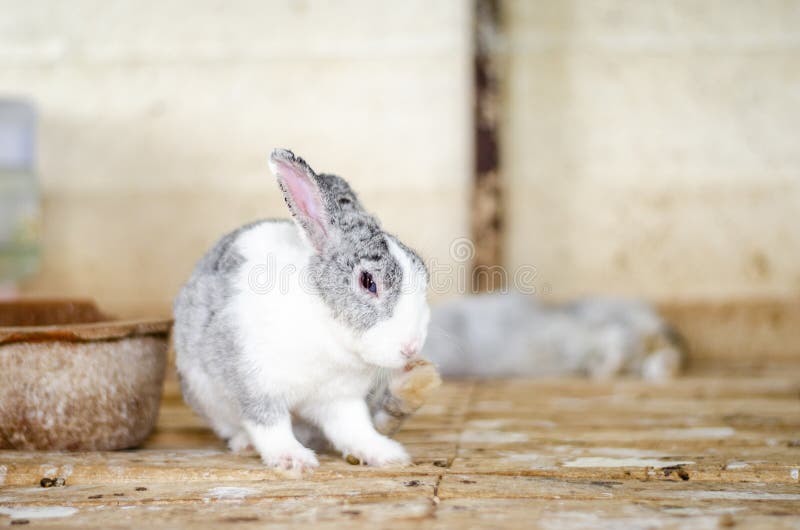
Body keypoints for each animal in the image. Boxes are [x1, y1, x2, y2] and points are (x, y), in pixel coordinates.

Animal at [173, 148, 433, 473]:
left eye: (424, 273)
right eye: (368, 281)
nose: (411, 348)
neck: (326, 328)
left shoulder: (340, 399)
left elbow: (354, 429)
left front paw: (386, 454)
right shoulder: (256, 385)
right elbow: (269, 425)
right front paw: (293, 460)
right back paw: (247, 444)